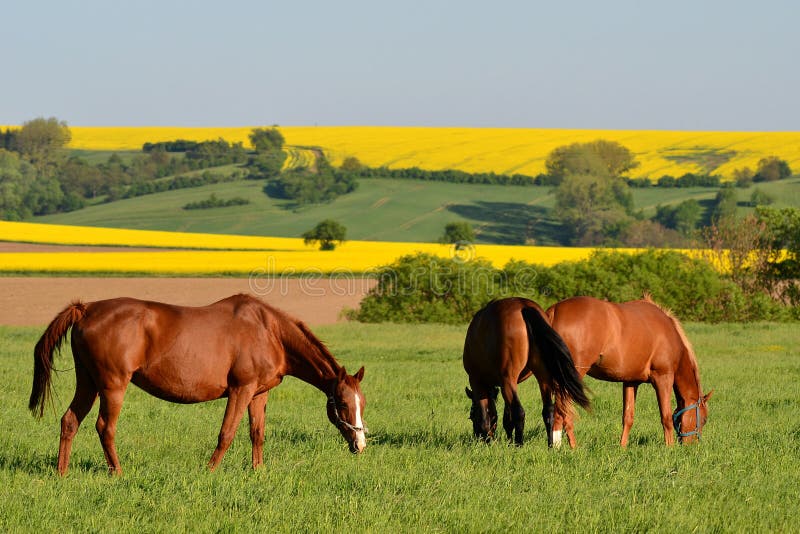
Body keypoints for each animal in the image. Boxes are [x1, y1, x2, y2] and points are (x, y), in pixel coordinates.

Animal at [29, 294, 367, 476]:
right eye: (342, 403)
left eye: (362, 403)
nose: (361, 444)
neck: (270, 331)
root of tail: (86, 308)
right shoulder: (241, 390)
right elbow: (227, 434)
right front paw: (210, 470)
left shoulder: (259, 393)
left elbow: (257, 434)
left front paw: (258, 471)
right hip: (112, 386)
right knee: (105, 427)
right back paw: (118, 472)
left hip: (88, 382)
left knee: (70, 421)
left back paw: (62, 472)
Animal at [462, 297, 590, 447]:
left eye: (471, 416)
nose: (477, 437)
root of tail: (524, 306)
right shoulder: (505, 384)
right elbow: (506, 418)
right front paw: (507, 441)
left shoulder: (478, 381)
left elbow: (485, 418)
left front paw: (490, 442)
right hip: (542, 377)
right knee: (548, 411)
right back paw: (550, 445)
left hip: (508, 379)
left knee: (519, 412)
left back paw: (519, 444)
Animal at [545, 295, 713, 448]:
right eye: (704, 420)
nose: (691, 446)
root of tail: (555, 310)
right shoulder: (663, 378)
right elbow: (666, 417)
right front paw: (669, 448)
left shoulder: (631, 382)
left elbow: (628, 417)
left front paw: (622, 447)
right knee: (564, 411)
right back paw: (571, 447)